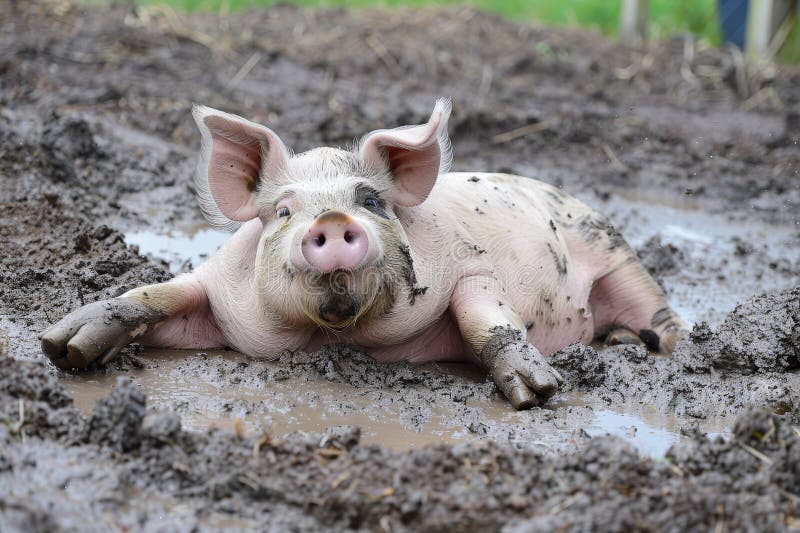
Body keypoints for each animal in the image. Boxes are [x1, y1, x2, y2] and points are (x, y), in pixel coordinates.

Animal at [40, 99, 688, 409]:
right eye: (283, 212)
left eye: (371, 199)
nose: (331, 221)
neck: (334, 334)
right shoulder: (218, 294)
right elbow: (160, 294)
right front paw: (64, 350)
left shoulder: (473, 265)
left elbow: (485, 319)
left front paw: (541, 393)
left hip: (614, 250)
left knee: (656, 309)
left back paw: (649, 345)